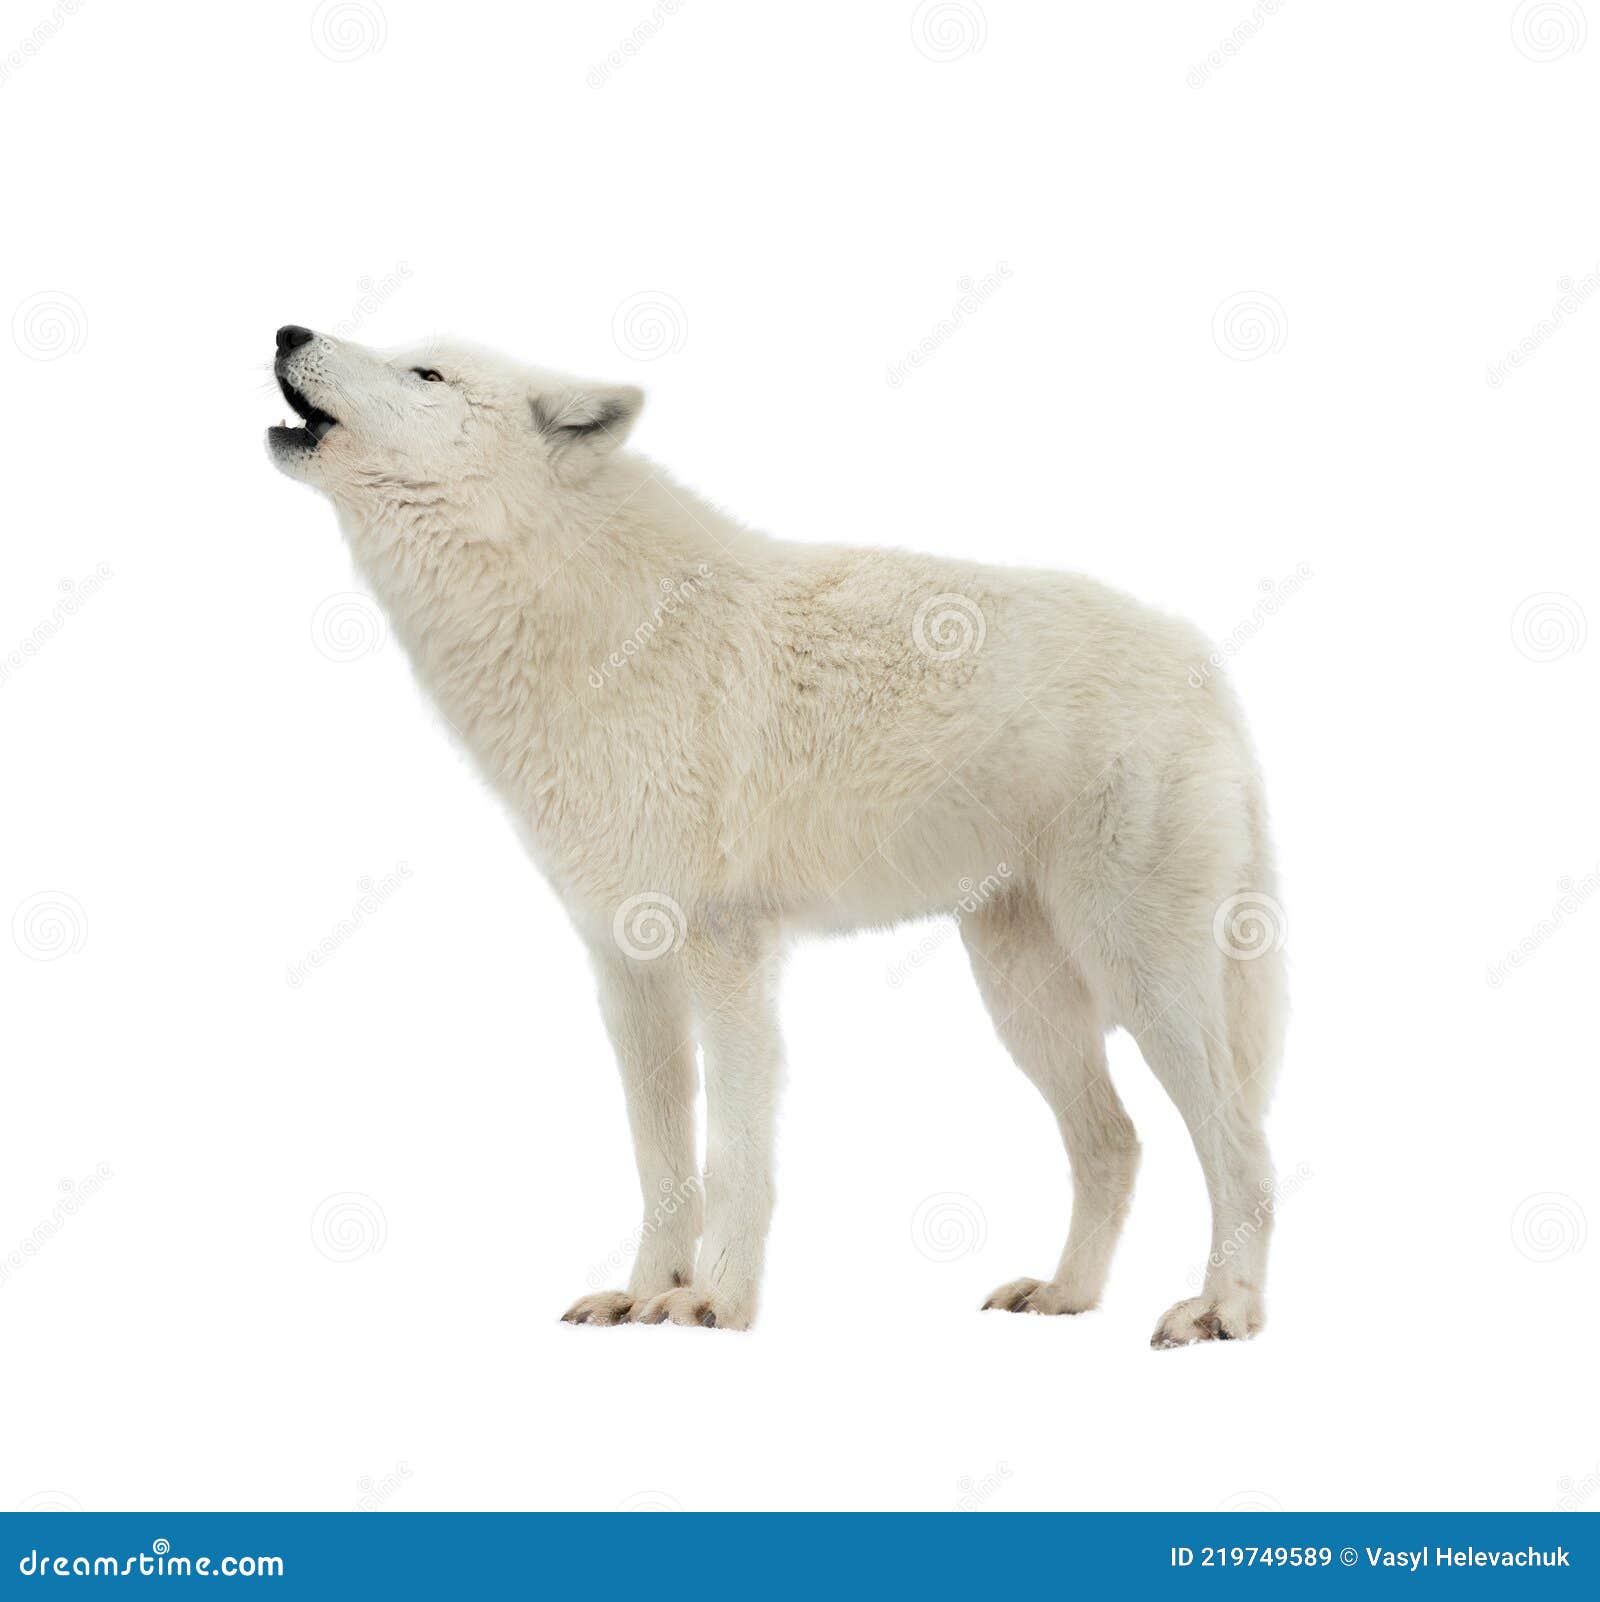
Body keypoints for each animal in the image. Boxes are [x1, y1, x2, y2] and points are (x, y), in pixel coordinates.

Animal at [267, 324, 1287, 1344]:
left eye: (425, 373)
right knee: (1116, 1142)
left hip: (1143, 979)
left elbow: (732, 1157)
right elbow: (661, 1164)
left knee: (1243, 1145)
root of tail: (1205, 664)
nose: (287, 332)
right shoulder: (626, 970)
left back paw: (1222, 1310)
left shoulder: (726, 952)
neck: (593, 630)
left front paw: (714, 1301)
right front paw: (640, 1293)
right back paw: (1066, 1295)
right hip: (1022, 996)